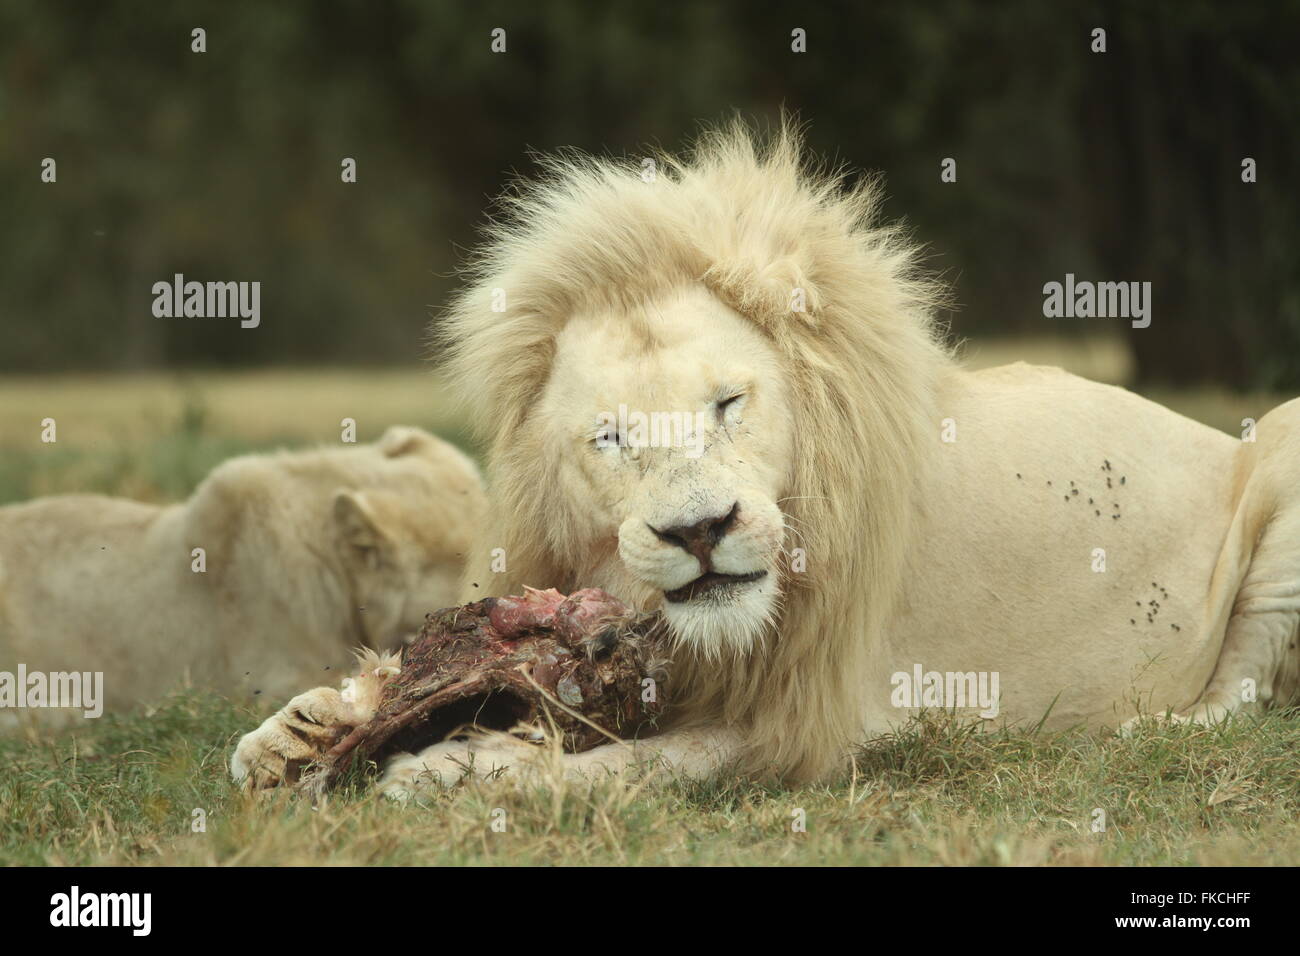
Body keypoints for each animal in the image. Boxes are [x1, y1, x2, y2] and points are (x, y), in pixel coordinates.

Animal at [231, 123, 1300, 794]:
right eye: (610, 437)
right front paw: (297, 731)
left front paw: (465, 770)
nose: (701, 531)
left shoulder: (811, 725)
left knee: (1241, 697)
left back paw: (1138, 726)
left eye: (729, 403)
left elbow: (635, 766)